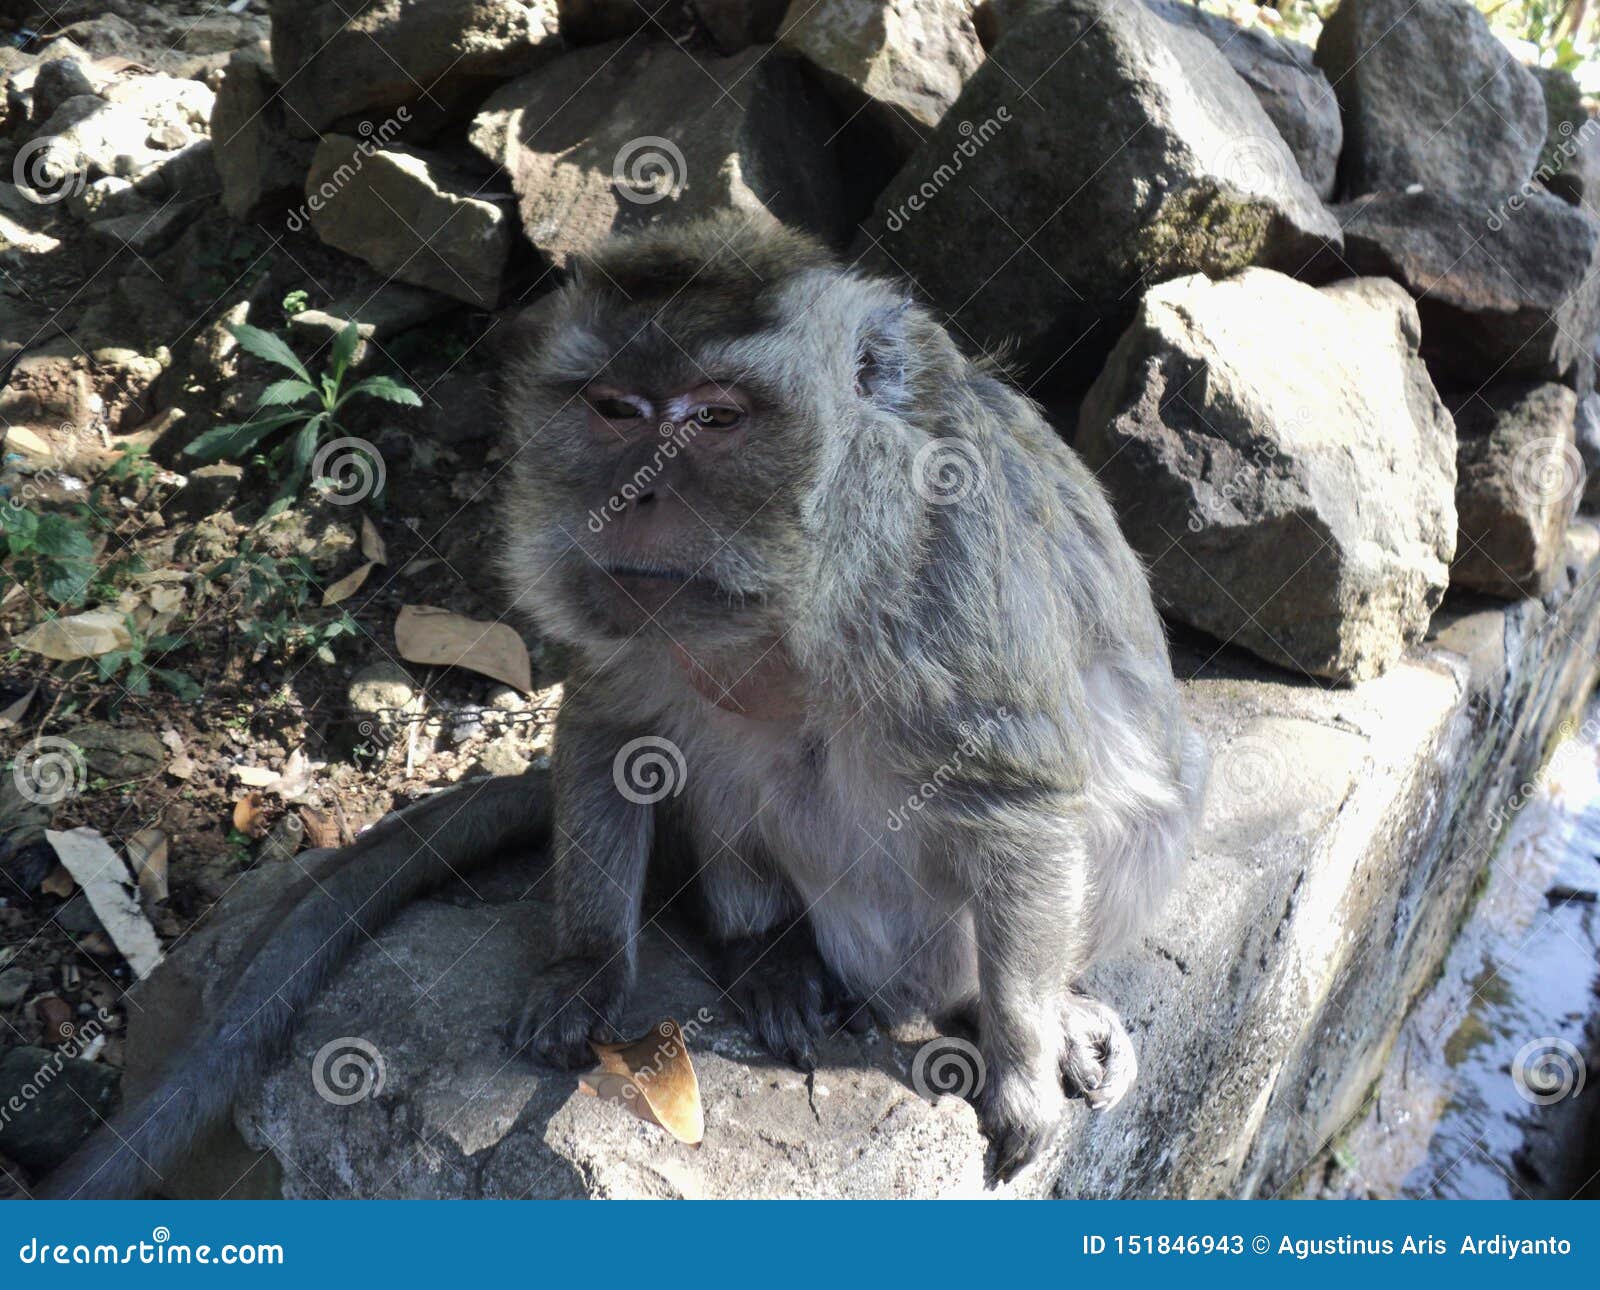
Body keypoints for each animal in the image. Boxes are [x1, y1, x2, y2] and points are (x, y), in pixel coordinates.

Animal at [40, 215, 1206, 1200]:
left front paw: (1019, 1065)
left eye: (717, 418)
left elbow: (1014, 803)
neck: (796, 597)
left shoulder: (943, 573)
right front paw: (589, 961)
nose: (638, 491)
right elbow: (615, 730)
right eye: (613, 412)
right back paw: (762, 947)